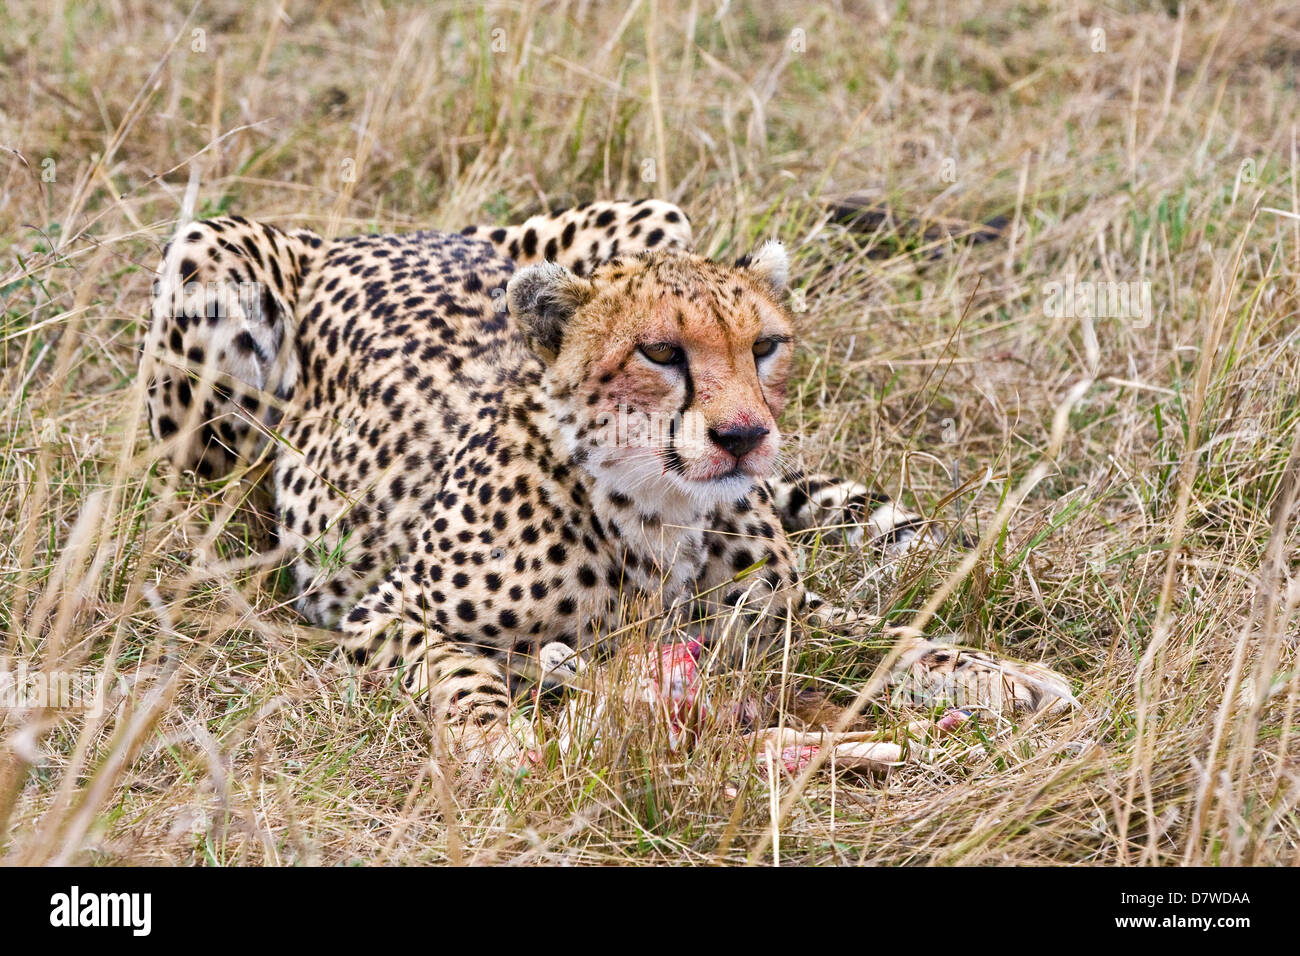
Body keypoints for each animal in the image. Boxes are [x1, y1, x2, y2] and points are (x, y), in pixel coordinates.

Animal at [139, 198, 1076, 766]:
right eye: (660, 352)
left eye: (765, 345)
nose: (745, 437)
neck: (660, 510)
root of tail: (374, 233)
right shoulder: (386, 611)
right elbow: (459, 672)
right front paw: (493, 739)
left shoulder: (776, 620)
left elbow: (881, 634)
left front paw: (989, 673)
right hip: (204, 259)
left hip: (654, 213)